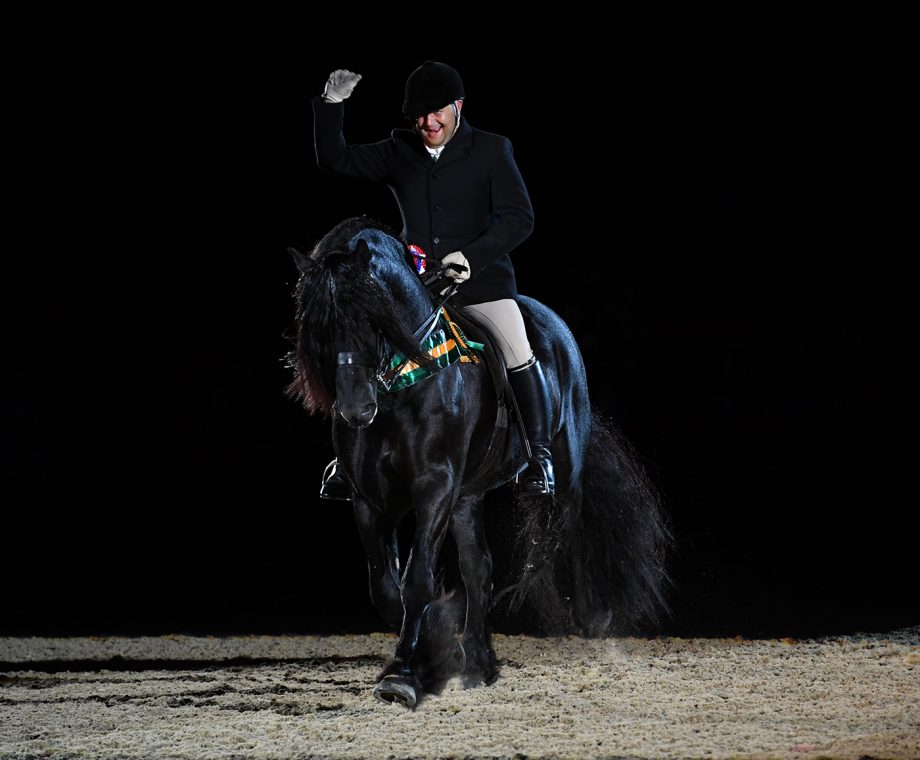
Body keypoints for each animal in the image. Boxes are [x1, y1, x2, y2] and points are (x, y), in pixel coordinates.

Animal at [286, 216, 672, 707]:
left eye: (370, 316)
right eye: (316, 329)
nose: (356, 411)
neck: (403, 384)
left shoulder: (435, 486)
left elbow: (416, 580)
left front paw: (402, 675)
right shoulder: (370, 498)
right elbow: (386, 587)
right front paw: (422, 652)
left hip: (563, 471)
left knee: (570, 528)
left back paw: (590, 617)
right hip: (467, 496)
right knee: (478, 569)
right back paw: (480, 661)